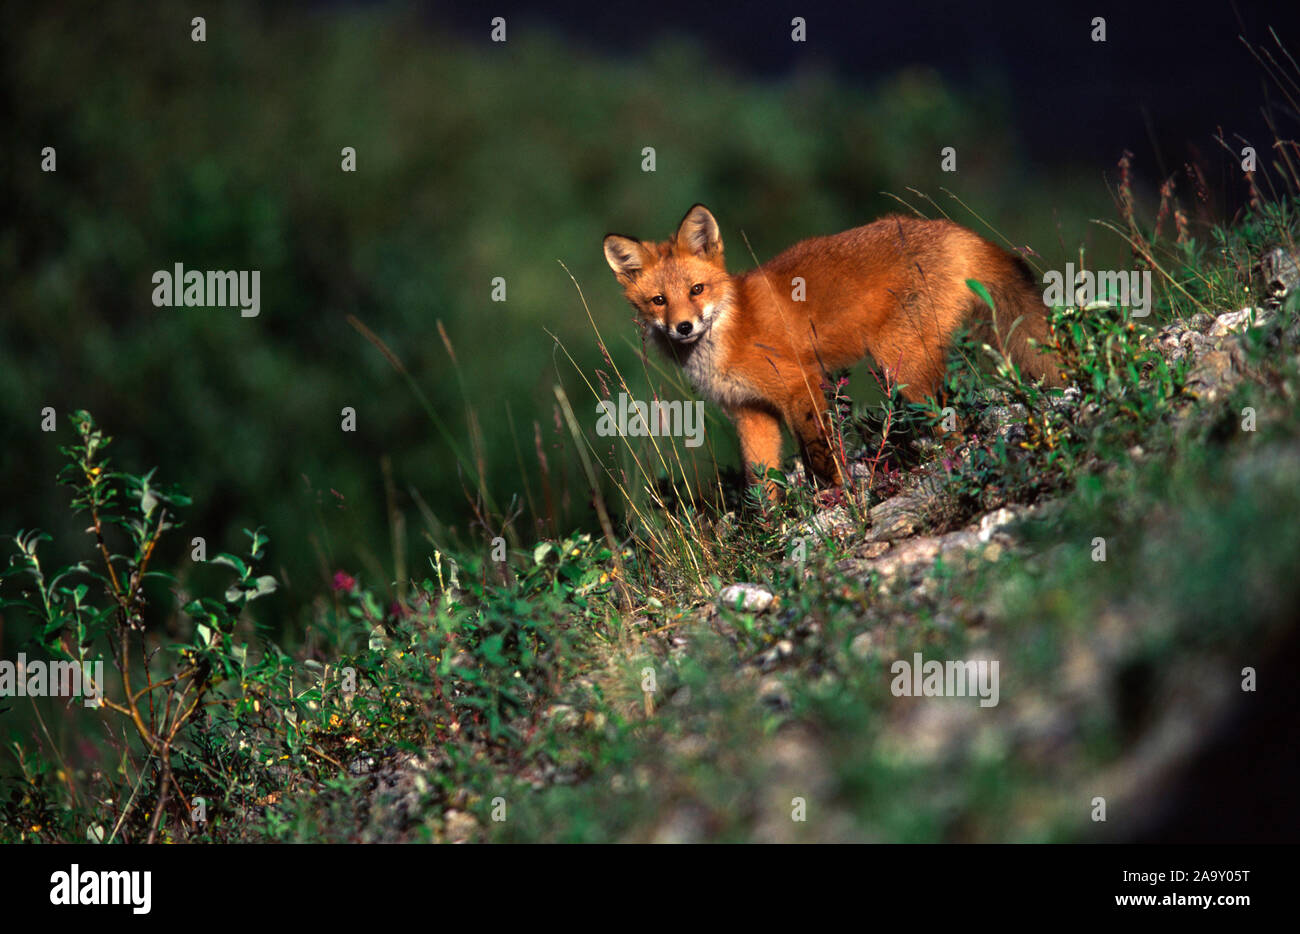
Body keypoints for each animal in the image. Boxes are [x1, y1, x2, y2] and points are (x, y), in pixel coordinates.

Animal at [602, 204, 1062, 494]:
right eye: (659, 301)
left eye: (697, 290)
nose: (683, 327)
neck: (728, 333)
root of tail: (956, 231)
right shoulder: (752, 413)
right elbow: (760, 484)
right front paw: (770, 535)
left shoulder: (800, 386)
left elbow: (820, 456)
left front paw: (835, 500)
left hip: (900, 362)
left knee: (952, 424)